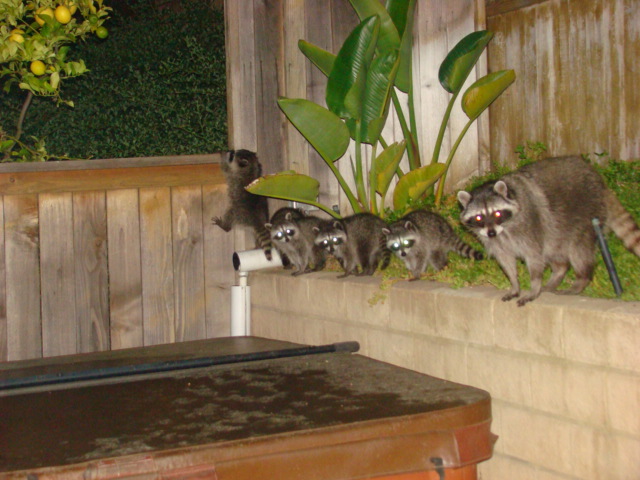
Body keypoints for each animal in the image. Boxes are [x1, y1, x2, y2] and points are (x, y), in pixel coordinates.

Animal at [457, 156, 640, 306]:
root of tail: (602, 185)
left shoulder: (530, 225)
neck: (504, 229)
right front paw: (514, 284)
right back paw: (559, 272)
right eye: (479, 217)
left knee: (578, 249)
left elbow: (535, 257)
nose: (491, 233)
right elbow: (506, 260)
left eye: (497, 213)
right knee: (555, 250)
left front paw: (534, 286)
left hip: (587, 215)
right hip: (556, 227)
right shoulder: (496, 241)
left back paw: (582, 279)